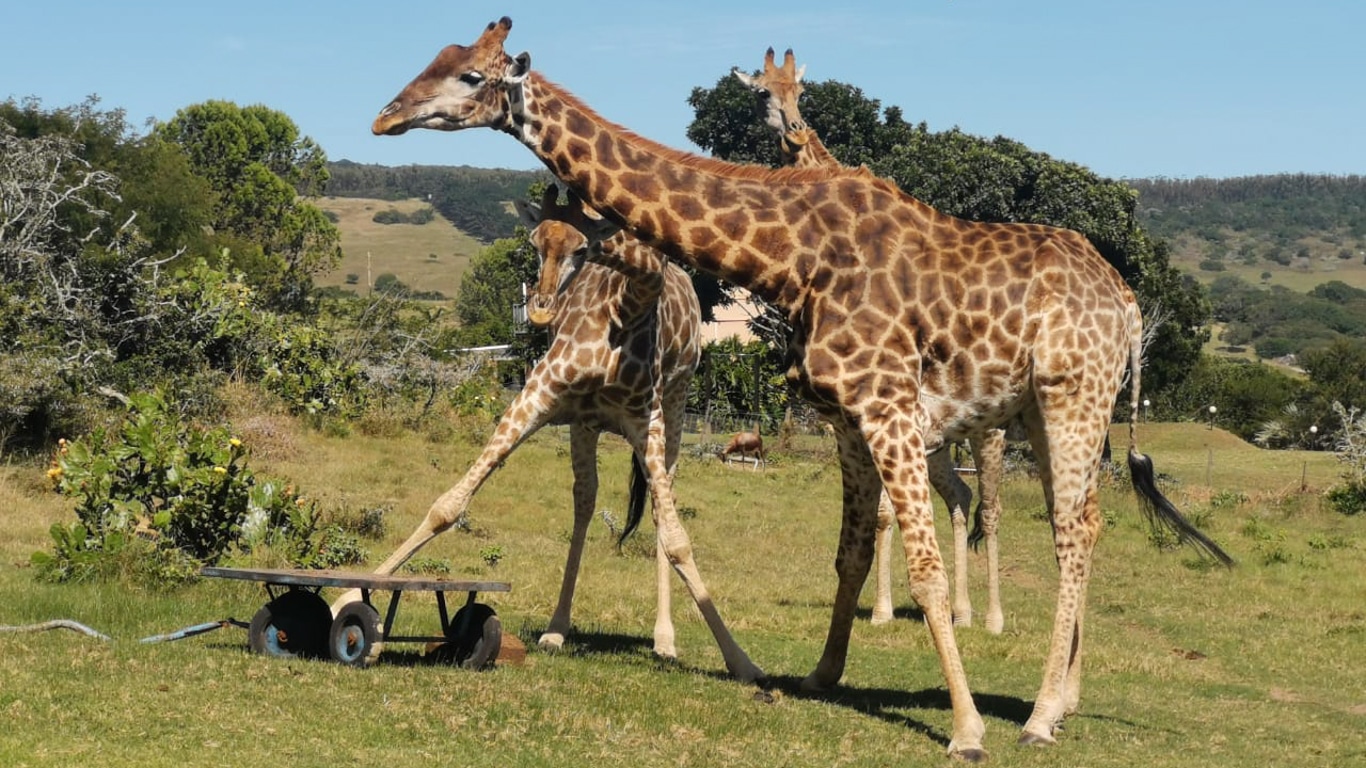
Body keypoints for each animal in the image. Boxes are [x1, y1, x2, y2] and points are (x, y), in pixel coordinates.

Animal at [336, 183, 763, 681]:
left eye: (582, 248)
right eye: (535, 243)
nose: (540, 311)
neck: (628, 305)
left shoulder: (648, 417)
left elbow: (677, 541)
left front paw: (740, 659)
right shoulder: (538, 393)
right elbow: (448, 505)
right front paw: (347, 595)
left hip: (675, 407)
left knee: (659, 512)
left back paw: (664, 640)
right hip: (585, 424)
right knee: (585, 500)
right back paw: (557, 628)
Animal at [734, 47, 1008, 632]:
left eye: (801, 90)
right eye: (763, 92)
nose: (794, 132)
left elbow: (883, 515)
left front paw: (880, 608)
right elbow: (885, 515)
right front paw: (883, 607)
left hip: (989, 432)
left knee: (993, 507)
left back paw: (993, 618)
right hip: (939, 443)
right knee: (960, 494)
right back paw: (963, 611)